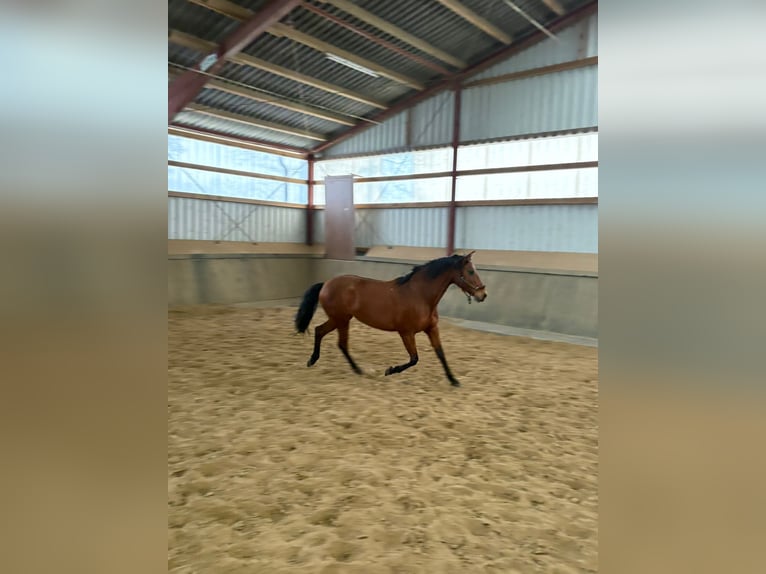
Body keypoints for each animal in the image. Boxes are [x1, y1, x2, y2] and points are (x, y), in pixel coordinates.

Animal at [294, 251, 487, 387]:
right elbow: (414, 359)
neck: (420, 295)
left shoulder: (431, 329)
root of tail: (326, 284)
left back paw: (314, 361)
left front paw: (454, 380)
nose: (483, 295)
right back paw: (356, 370)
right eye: (470, 271)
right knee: (339, 342)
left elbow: (440, 353)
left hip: (339, 319)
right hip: (341, 320)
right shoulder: (406, 333)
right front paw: (390, 370)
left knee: (320, 331)